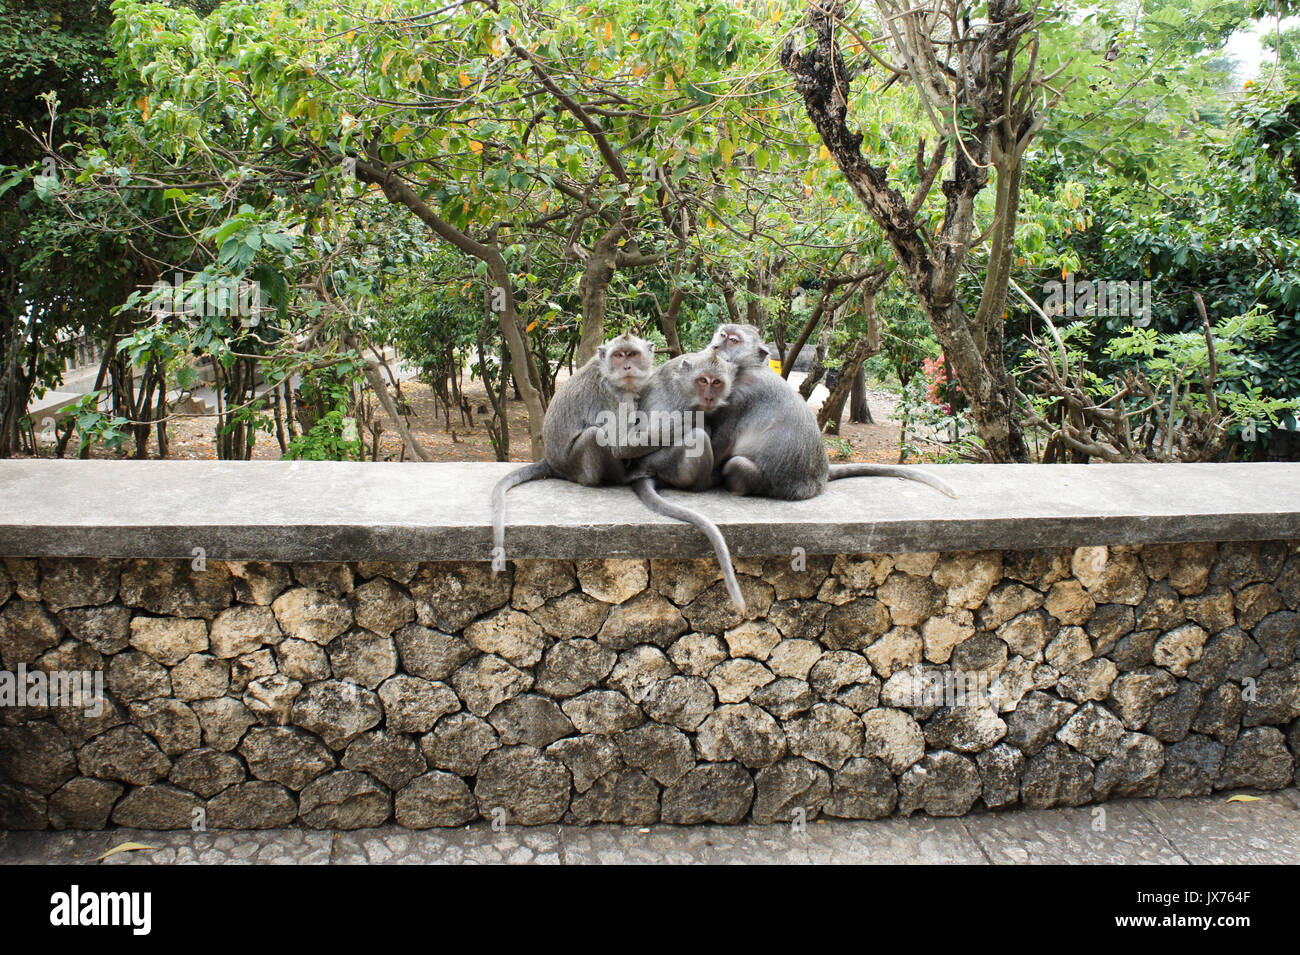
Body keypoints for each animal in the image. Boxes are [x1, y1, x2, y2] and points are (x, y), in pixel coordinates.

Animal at [491, 333, 655, 564]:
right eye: (618, 355)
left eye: (632, 354)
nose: (627, 367)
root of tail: (551, 462)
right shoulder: (617, 397)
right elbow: (619, 444)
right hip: (575, 465)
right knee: (595, 436)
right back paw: (620, 478)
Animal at [706, 323, 957, 499]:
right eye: (722, 335)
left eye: (733, 340)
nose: (715, 346)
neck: (746, 367)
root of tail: (818, 480)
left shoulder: (740, 397)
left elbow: (723, 441)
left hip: (768, 484)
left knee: (738, 466)